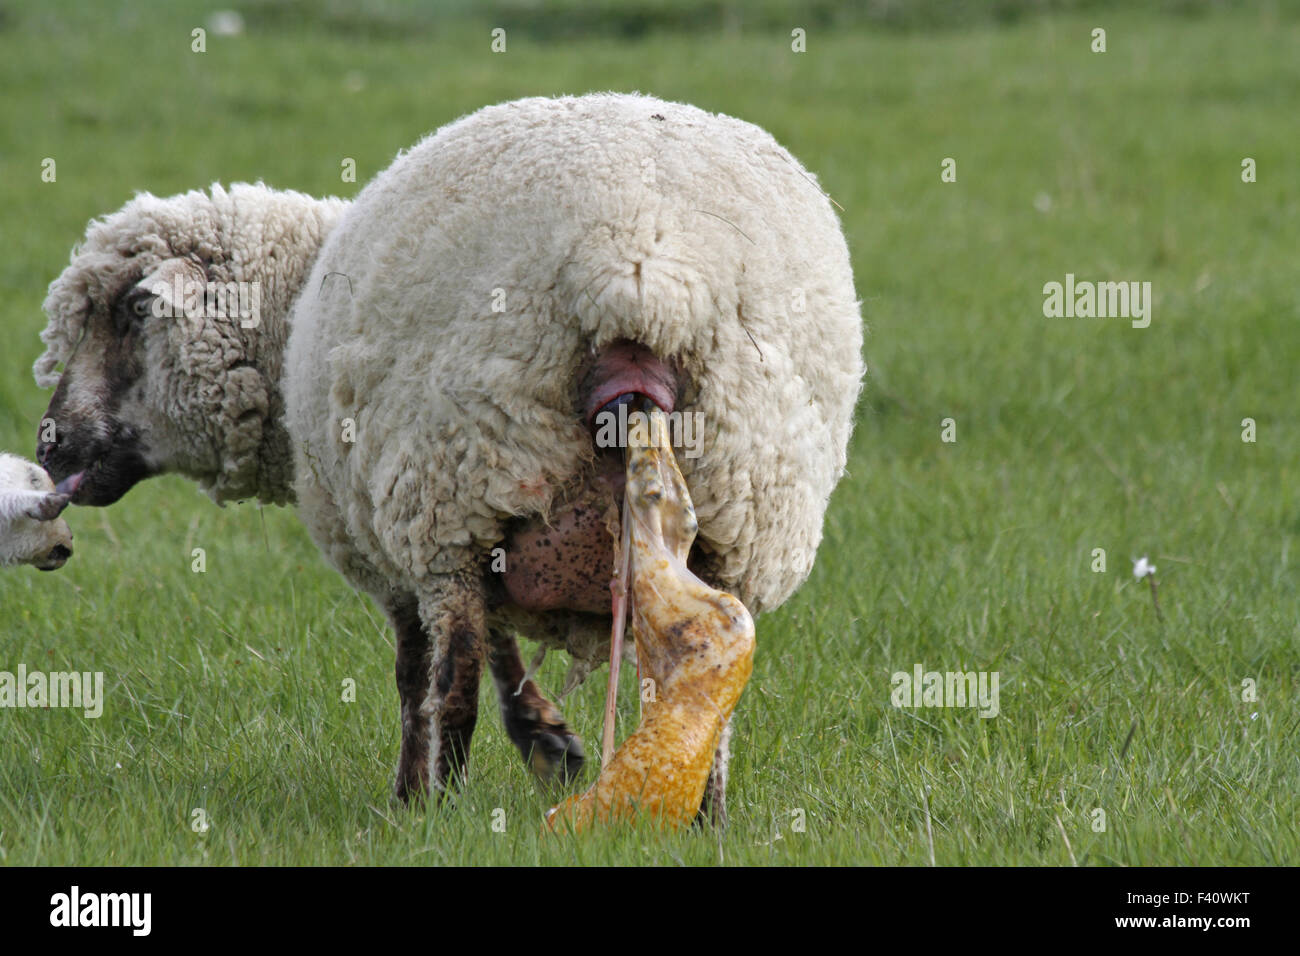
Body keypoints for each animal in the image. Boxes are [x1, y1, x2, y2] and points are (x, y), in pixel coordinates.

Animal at [33, 182, 584, 785]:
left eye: (135, 309)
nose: (47, 446)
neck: (297, 323)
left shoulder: (413, 498)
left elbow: (418, 666)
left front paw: (416, 789)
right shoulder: (463, 487)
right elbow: (480, 624)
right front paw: (543, 734)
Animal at [285, 93, 865, 820]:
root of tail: (642, 263)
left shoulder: (405, 569)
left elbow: (421, 668)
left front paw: (426, 788)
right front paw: (546, 742)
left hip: (456, 491)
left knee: (455, 674)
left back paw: (442, 804)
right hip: (742, 499)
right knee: (716, 685)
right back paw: (708, 817)